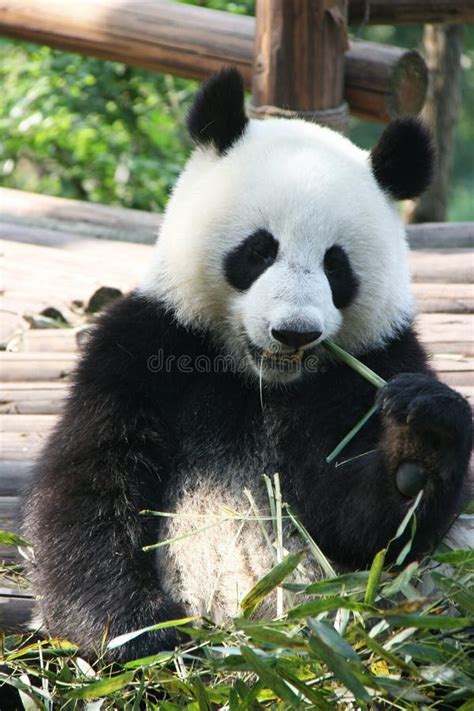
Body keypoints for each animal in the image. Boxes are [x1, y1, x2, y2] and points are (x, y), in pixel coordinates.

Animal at [23, 68, 472, 662]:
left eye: (336, 265)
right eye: (259, 250)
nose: (295, 331)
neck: (259, 379)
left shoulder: (374, 361)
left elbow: (365, 534)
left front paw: (422, 443)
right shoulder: (143, 348)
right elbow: (92, 485)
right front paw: (137, 630)